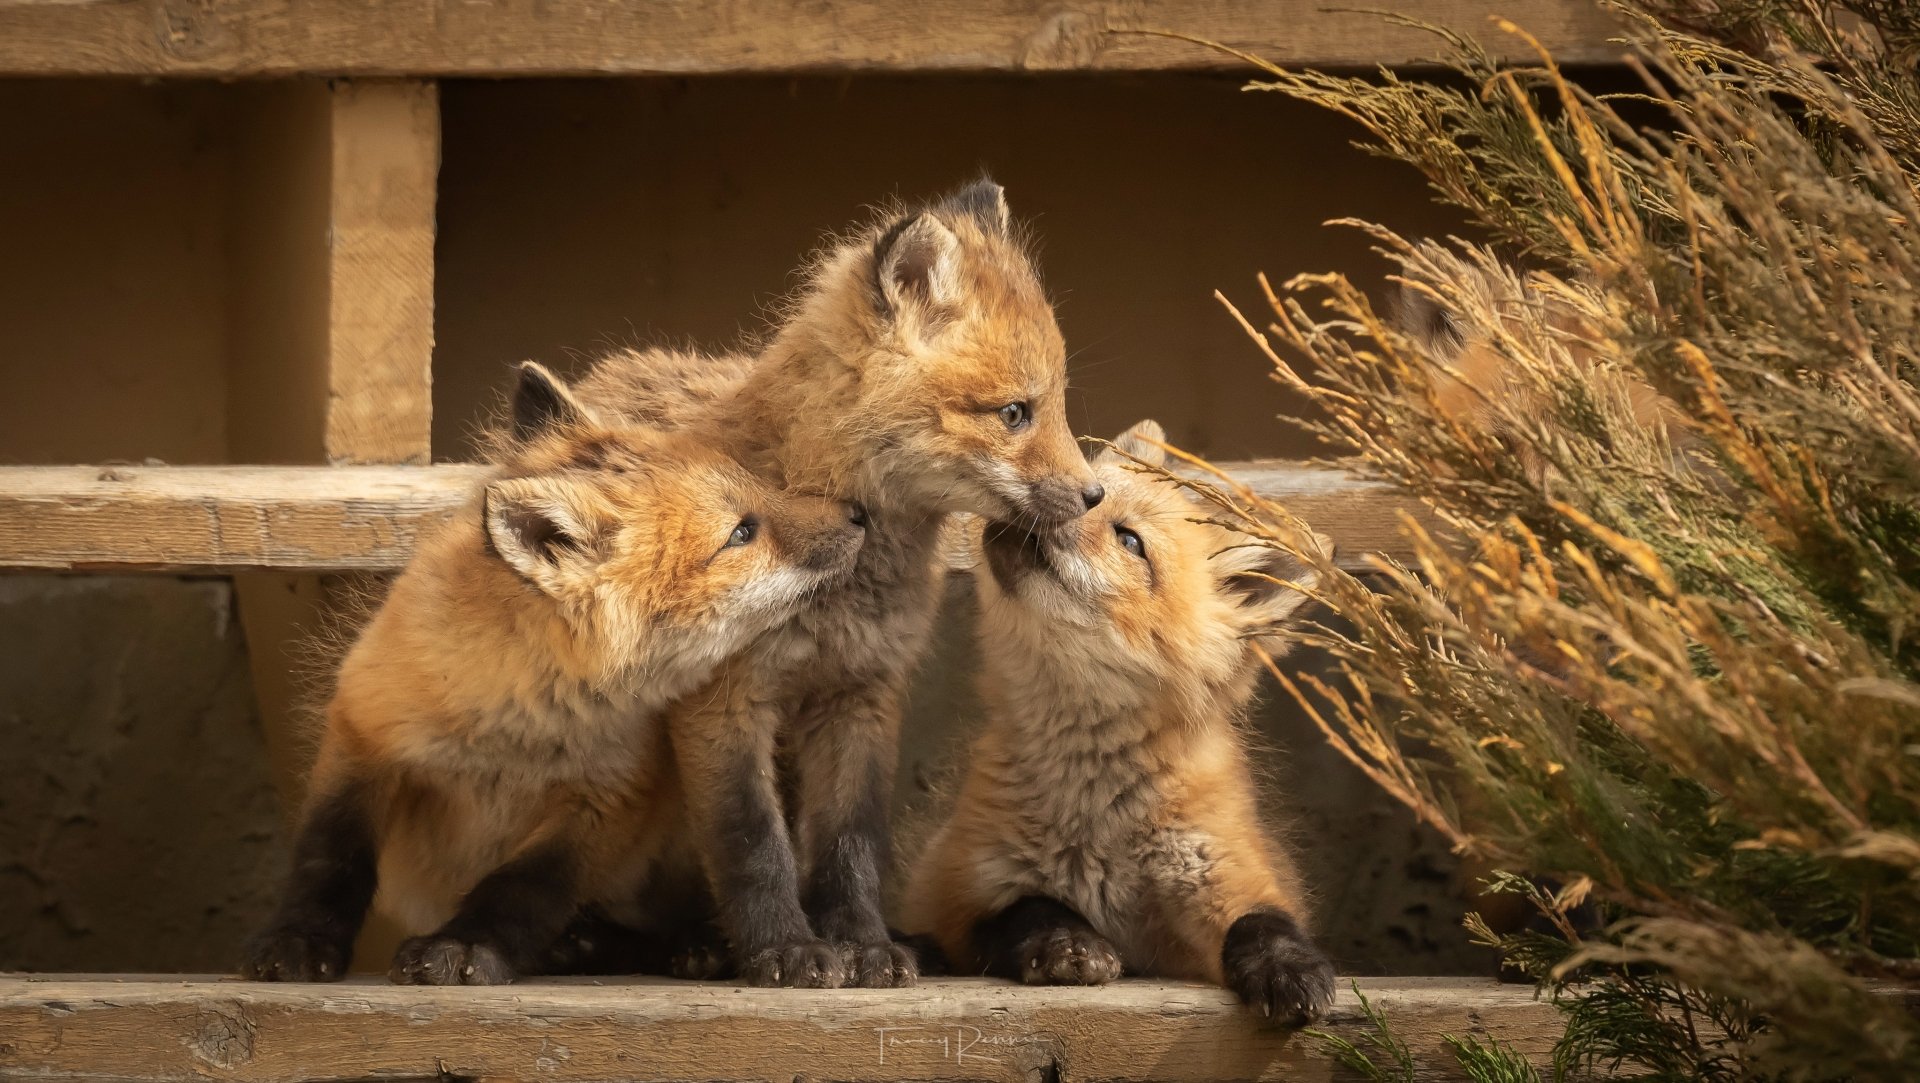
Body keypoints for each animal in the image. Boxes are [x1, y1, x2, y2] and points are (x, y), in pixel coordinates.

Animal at [240, 363, 866, 985]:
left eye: (762, 487)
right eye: (741, 532)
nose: (859, 513)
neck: (511, 730)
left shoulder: (607, 799)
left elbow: (521, 890)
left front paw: (466, 946)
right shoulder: (364, 733)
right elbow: (329, 858)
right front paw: (300, 938)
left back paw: (678, 944)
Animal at [556, 178, 1101, 988]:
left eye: (1059, 404)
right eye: (1013, 412)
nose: (1096, 495)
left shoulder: (862, 693)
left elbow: (851, 842)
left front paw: (863, 944)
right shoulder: (722, 702)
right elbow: (753, 844)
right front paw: (784, 950)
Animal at [900, 420, 1339, 1025]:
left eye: (1130, 541)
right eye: (1092, 491)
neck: (1095, 822)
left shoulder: (1231, 874)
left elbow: (1265, 923)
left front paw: (1291, 968)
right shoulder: (958, 889)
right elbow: (1029, 908)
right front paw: (1067, 944)